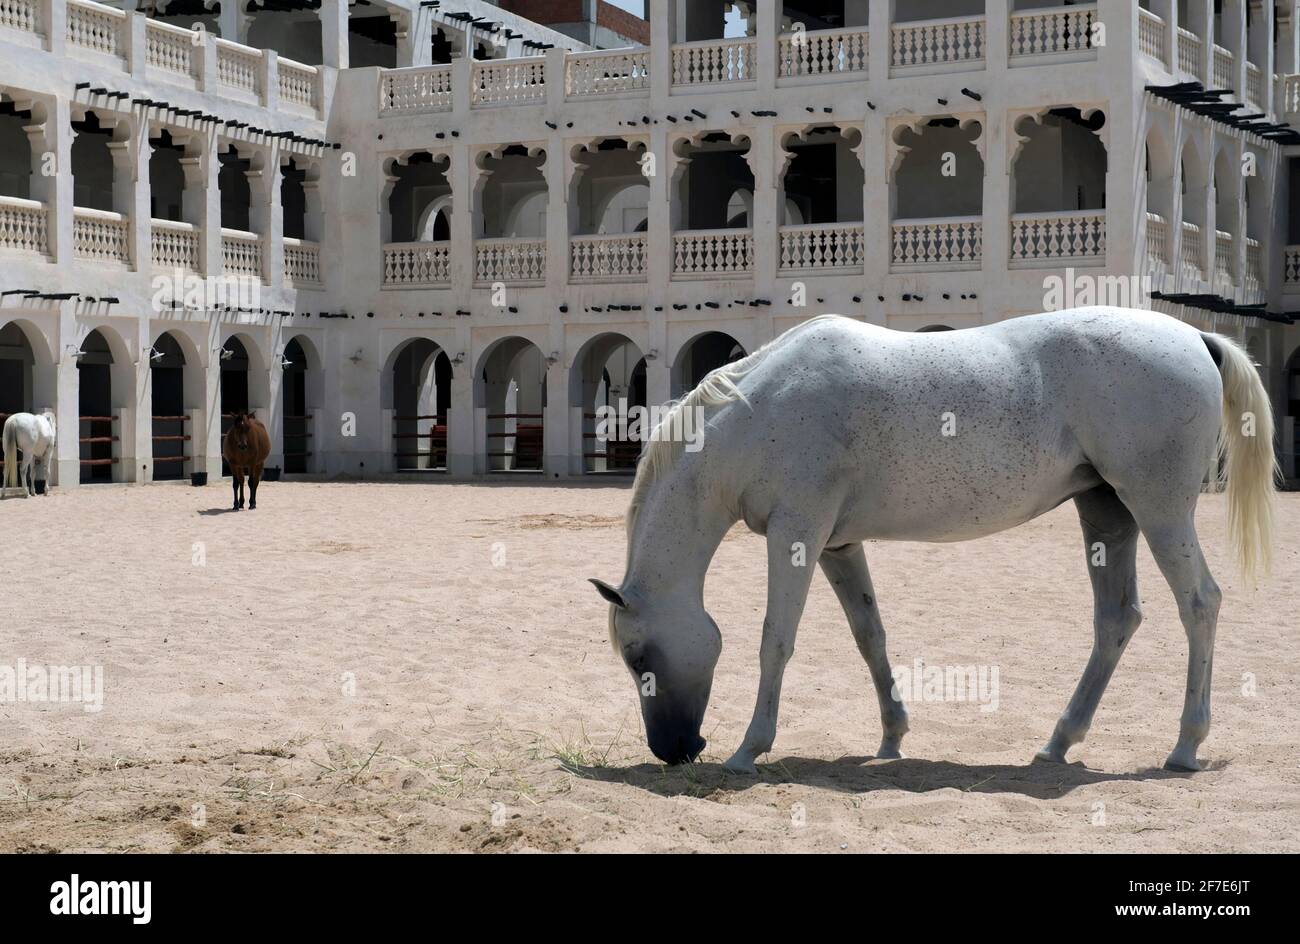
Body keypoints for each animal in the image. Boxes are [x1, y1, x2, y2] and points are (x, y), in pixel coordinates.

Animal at [590, 307, 1277, 775]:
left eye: (639, 657)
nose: (674, 750)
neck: (760, 411)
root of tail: (1194, 337)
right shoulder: (837, 546)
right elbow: (869, 636)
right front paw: (892, 738)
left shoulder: (795, 536)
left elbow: (775, 641)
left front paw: (747, 750)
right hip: (1107, 513)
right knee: (1117, 620)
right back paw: (1058, 741)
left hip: (1159, 511)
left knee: (1200, 604)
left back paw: (1185, 746)